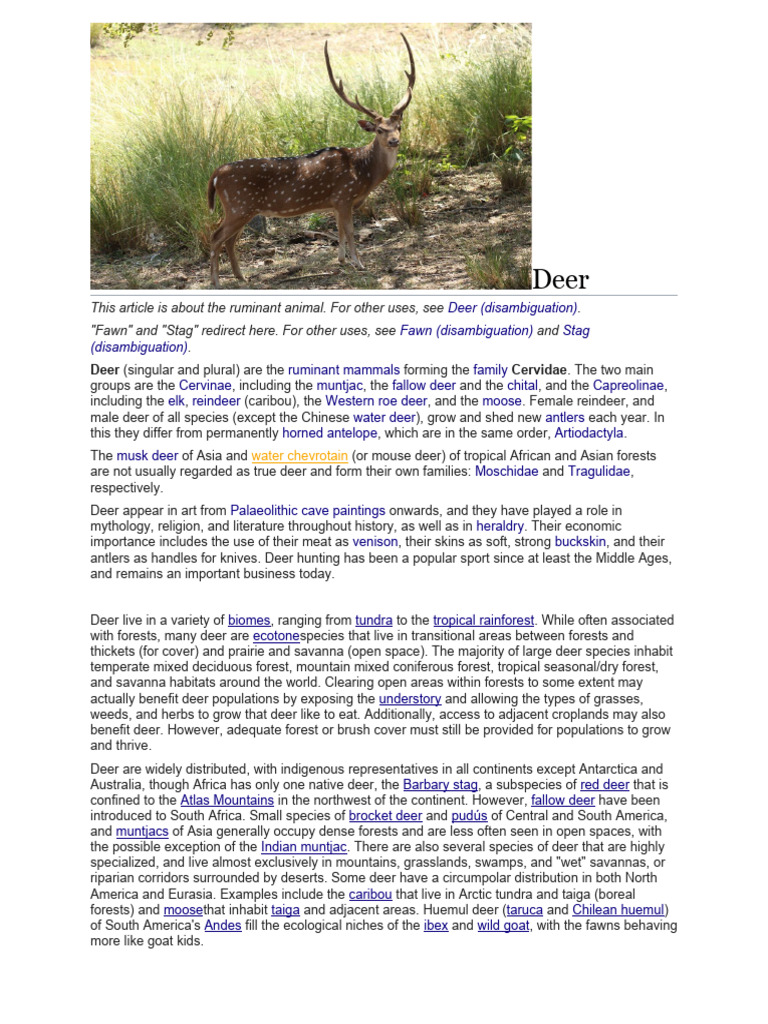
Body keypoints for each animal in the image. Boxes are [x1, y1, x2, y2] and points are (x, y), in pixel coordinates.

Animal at [206, 33, 416, 287]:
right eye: (379, 130)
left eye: (399, 127)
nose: (394, 141)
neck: (363, 171)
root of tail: (216, 174)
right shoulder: (344, 195)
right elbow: (350, 230)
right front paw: (358, 263)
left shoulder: (335, 203)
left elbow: (340, 231)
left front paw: (342, 260)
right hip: (238, 205)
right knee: (216, 237)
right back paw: (216, 282)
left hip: (241, 209)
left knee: (229, 240)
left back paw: (241, 277)